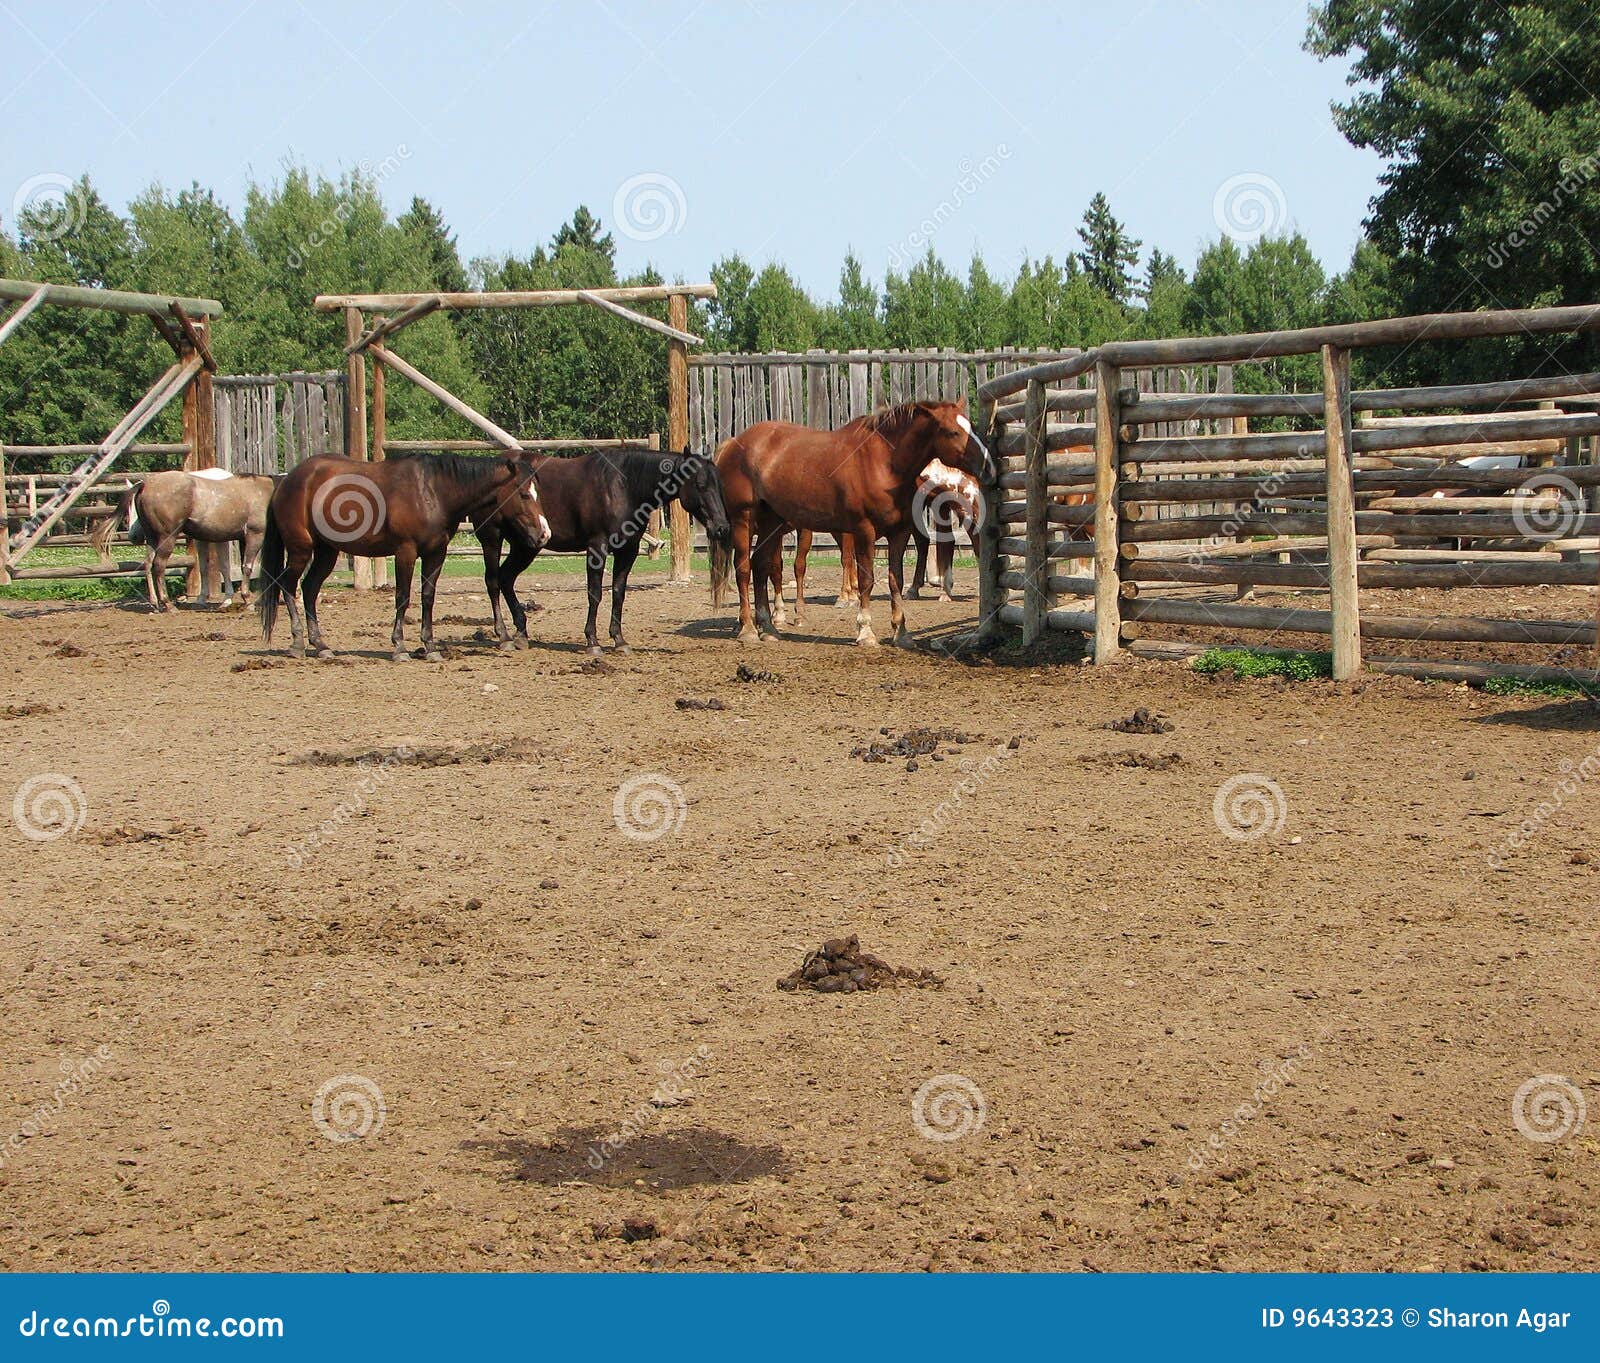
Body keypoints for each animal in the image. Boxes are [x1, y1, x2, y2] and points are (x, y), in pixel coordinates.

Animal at [89, 467, 277, 613]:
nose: (133, 536)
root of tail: (147, 484)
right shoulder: (254, 535)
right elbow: (247, 567)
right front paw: (247, 599)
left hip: (152, 539)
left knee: (148, 564)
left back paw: (155, 603)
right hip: (167, 538)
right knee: (158, 566)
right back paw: (168, 604)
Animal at [257, 453, 550, 661]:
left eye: (538, 493)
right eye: (524, 494)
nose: (544, 534)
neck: (432, 491)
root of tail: (288, 480)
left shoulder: (436, 553)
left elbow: (428, 597)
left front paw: (430, 646)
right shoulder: (405, 552)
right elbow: (403, 596)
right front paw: (399, 647)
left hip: (327, 551)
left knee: (309, 589)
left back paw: (320, 645)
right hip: (301, 549)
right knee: (287, 585)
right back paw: (297, 643)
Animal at [472, 449, 730, 655]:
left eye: (719, 485)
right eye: (700, 485)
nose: (721, 528)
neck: (624, 486)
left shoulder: (628, 550)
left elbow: (618, 593)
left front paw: (619, 640)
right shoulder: (597, 548)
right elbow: (595, 593)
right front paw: (592, 642)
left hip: (526, 545)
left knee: (506, 578)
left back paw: (521, 633)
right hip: (493, 538)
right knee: (493, 581)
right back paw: (504, 636)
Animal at [709, 399, 994, 647]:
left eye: (971, 427)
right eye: (952, 432)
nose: (988, 467)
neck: (883, 463)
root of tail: (733, 443)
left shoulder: (899, 533)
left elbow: (895, 580)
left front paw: (901, 632)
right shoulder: (863, 531)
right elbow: (866, 580)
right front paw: (866, 632)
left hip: (772, 523)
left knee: (761, 566)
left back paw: (768, 628)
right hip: (743, 520)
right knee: (744, 569)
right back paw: (748, 628)